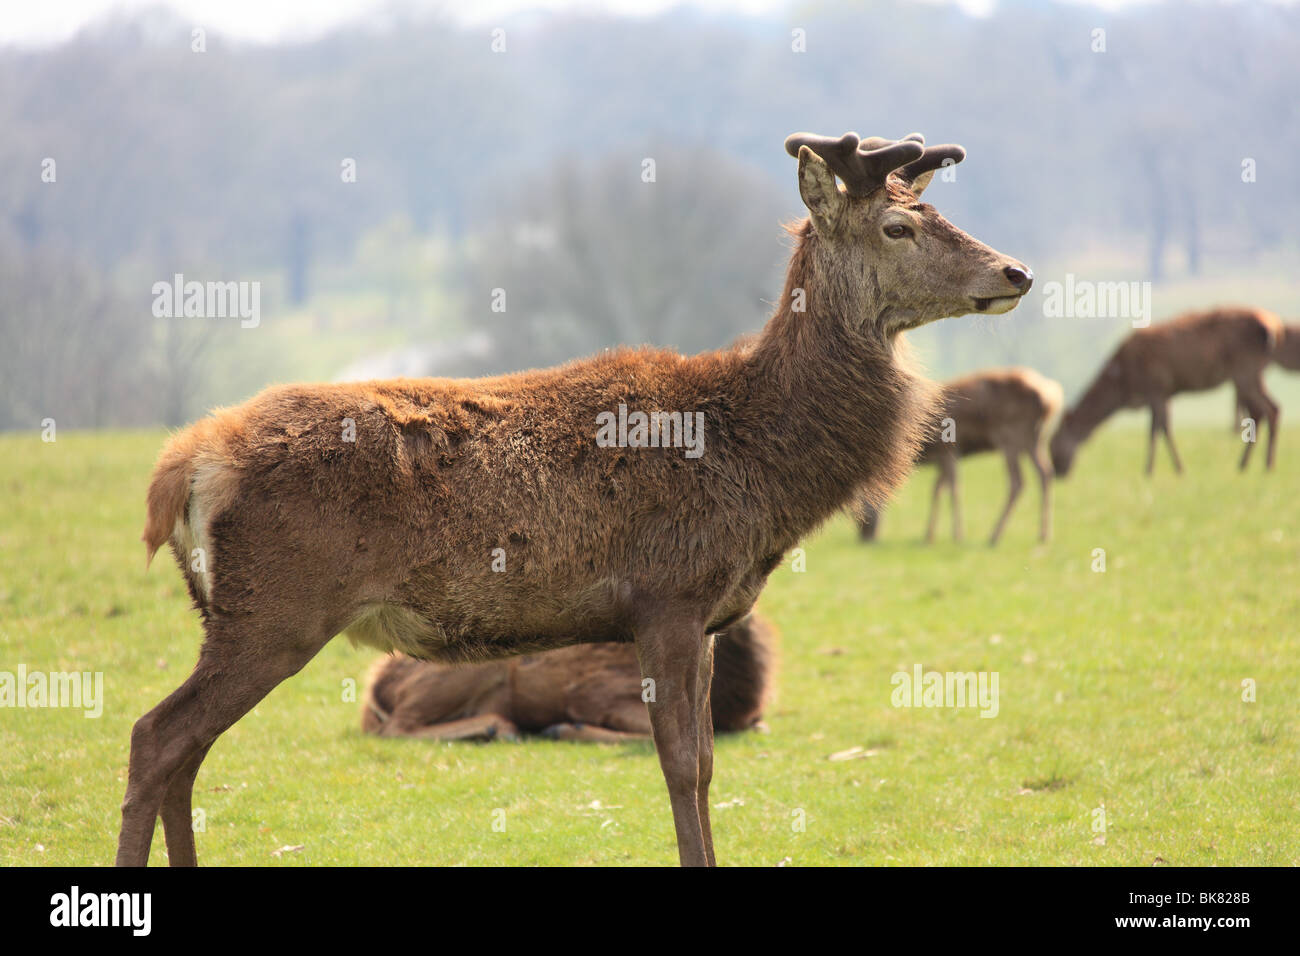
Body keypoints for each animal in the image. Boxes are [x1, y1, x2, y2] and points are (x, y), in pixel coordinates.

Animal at [855, 367, 1063, 545]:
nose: (866, 536)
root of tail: (1051, 399)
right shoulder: (944, 457)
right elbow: (938, 489)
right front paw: (929, 535)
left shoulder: (948, 449)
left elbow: (952, 489)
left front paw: (957, 535)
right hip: (1037, 439)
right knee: (1045, 473)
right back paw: (1043, 535)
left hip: (1010, 435)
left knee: (1018, 481)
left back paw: (994, 536)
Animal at [1050, 307, 1281, 478]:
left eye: (1053, 442)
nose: (1057, 472)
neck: (1123, 385)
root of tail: (1272, 329)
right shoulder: (1163, 393)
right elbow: (1158, 428)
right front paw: (1159, 468)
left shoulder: (1156, 388)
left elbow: (1160, 429)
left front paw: (1166, 469)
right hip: (1251, 373)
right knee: (1265, 410)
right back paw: (1249, 464)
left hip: (1245, 370)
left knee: (1269, 409)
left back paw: (1264, 464)